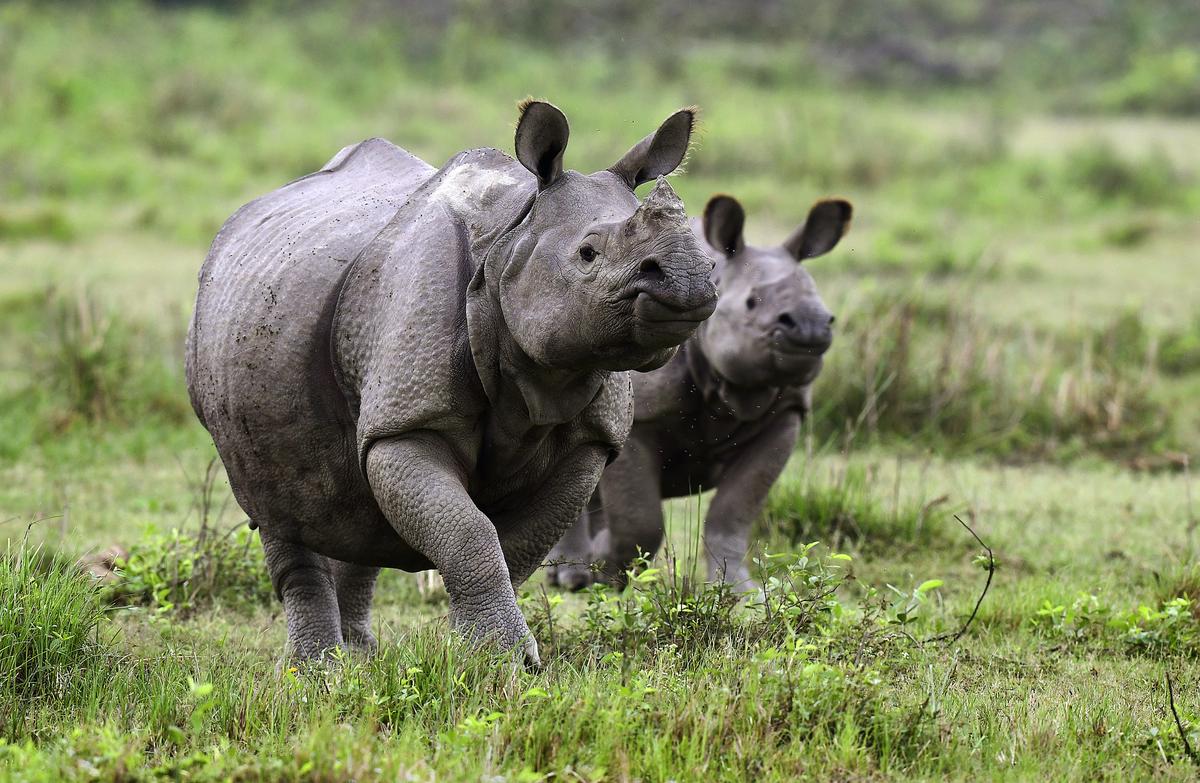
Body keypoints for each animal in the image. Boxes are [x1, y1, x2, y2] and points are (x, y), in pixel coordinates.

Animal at [185, 100, 717, 665]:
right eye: (588, 253)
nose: (689, 277)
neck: (512, 238)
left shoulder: (591, 439)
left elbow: (516, 546)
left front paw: (484, 658)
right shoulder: (409, 420)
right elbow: (468, 530)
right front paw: (502, 658)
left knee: (359, 513)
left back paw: (359, 660)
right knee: (281, 506)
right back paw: (314, 670)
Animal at [545, 193, 851, 591]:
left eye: (824, 310)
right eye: (751, 303)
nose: (811, 327)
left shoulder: (786, 412)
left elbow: (732, 512)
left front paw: (739, 591)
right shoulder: (640, 415)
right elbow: (639, 516)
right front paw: (607, 574)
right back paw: (572, 578)